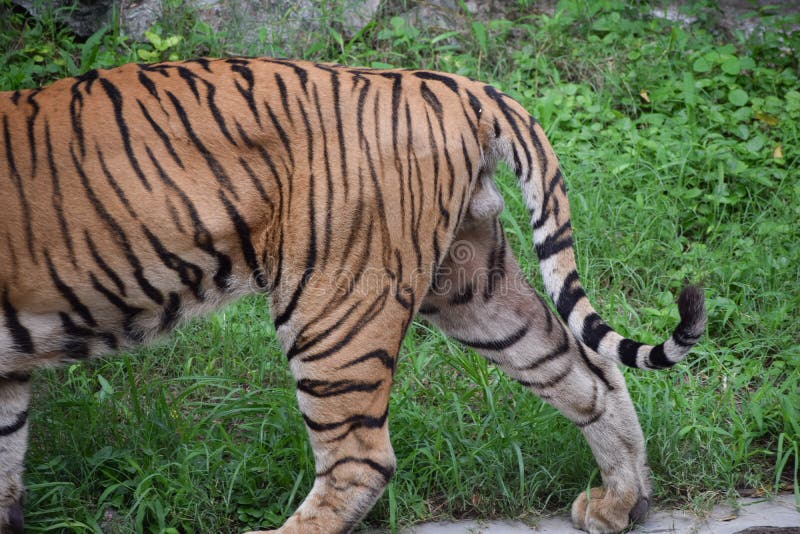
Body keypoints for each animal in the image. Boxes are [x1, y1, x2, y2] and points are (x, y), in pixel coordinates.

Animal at [0, 57, 706, 534]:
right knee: (589, 374)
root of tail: (452, 85)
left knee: (360, 459)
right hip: (471, 286)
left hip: (333, 308)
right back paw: (618, 504)